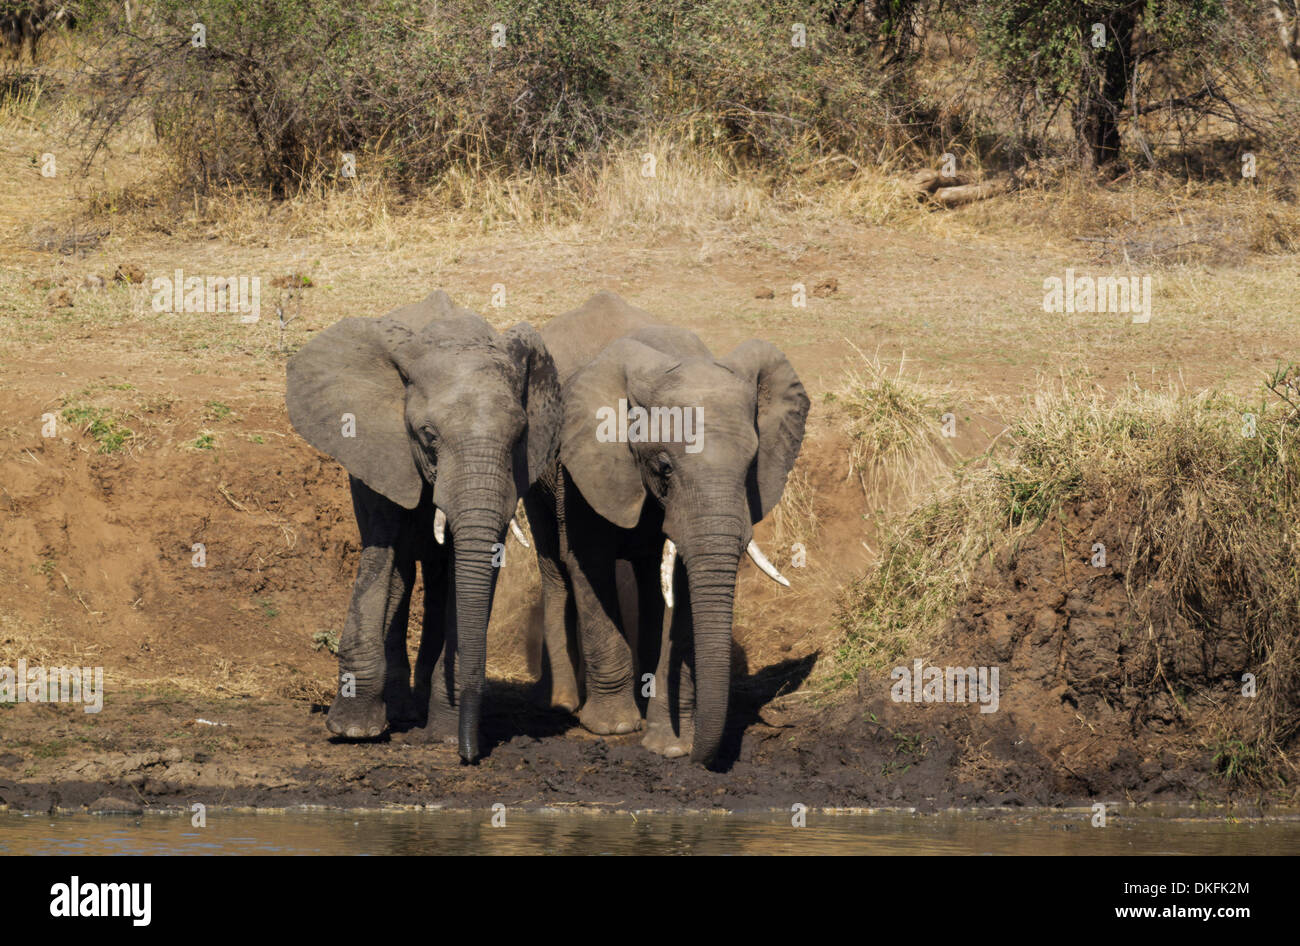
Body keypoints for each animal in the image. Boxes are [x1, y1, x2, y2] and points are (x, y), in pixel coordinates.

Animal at [286, 290, 559, 763]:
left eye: (519, 436)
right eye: (429, 435)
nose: (470, 755)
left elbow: (468, 573)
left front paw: (445, 737)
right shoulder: (382, 448)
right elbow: (381, 553)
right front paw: (354, 732)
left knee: (436, 576)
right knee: (400, 570)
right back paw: (397, 710)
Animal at [524, 292, 809, 765]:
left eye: (751, 464)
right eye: (663, 467)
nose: (700, 760)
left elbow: (685, 584)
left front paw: (671, 746)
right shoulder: (581, 463)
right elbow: (588, 562)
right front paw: (613, 727)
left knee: (651, 580)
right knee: (554, 565)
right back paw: (562, 704)